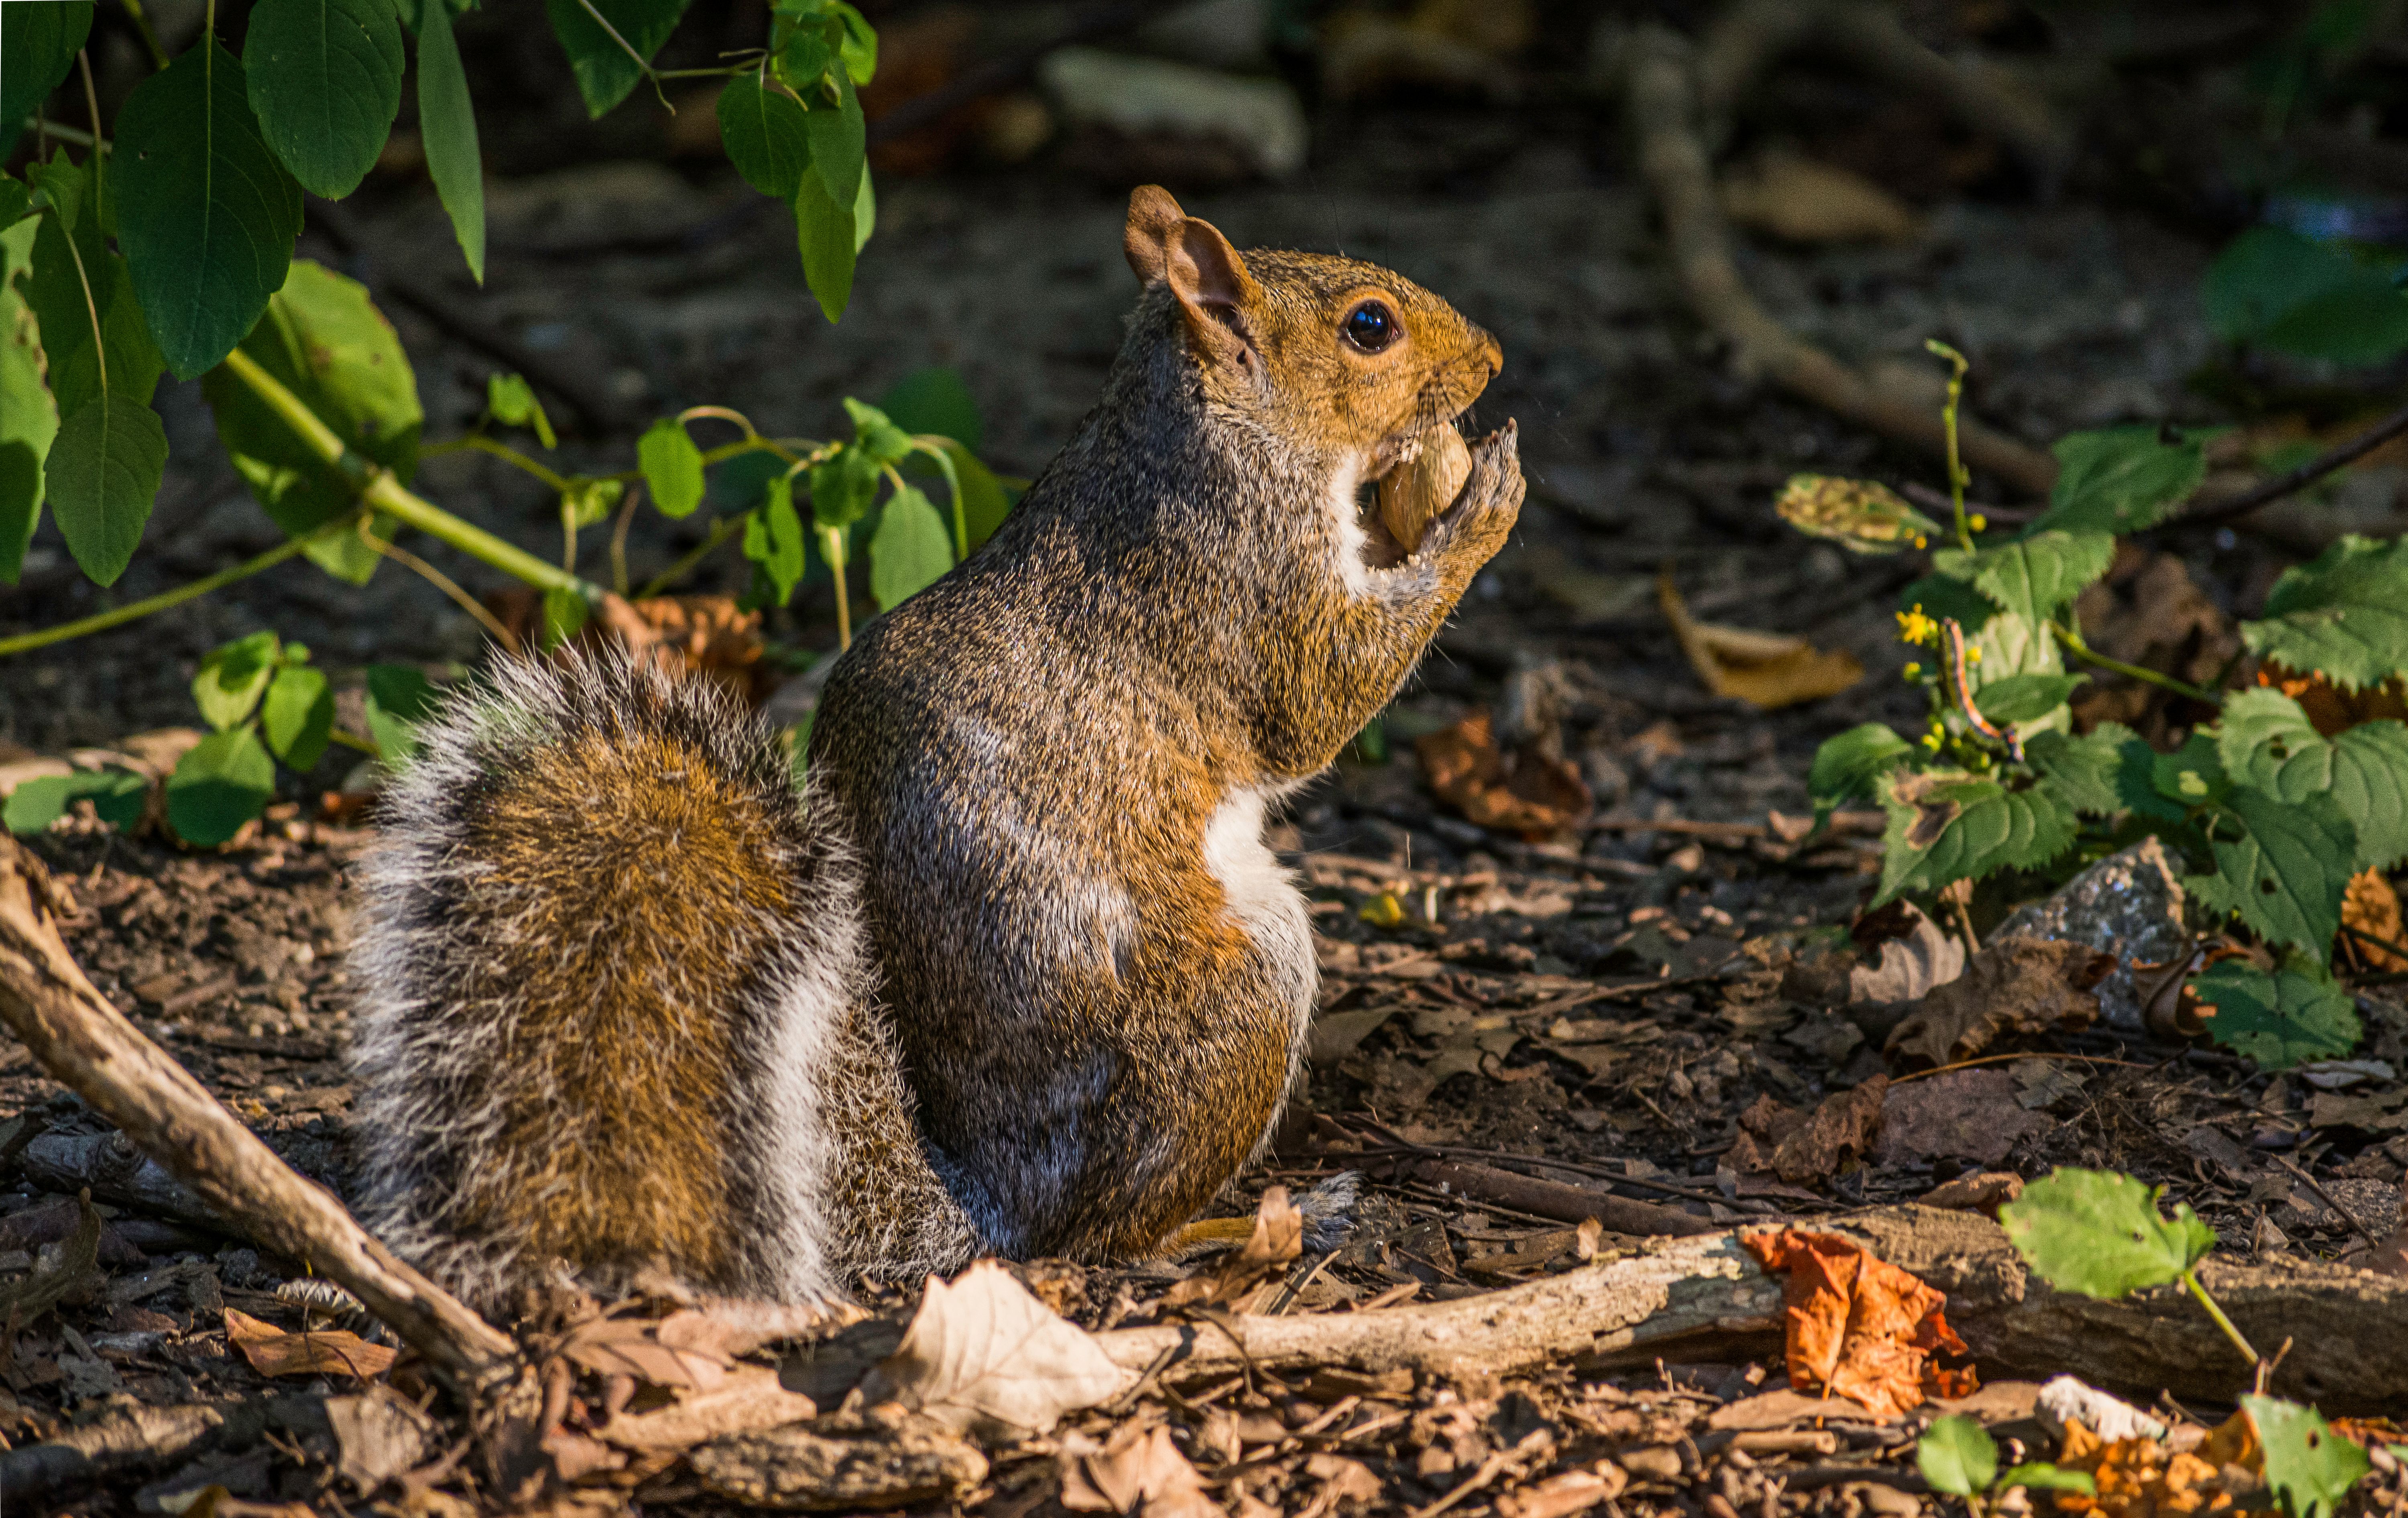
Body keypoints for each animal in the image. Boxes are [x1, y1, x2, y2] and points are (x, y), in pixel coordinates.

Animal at [349, 185, 1524, 1308]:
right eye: (1369, 326)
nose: (1494, 360)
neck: (1204, 427)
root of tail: (993, 1206)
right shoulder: (1234, 571)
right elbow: (1316, 696)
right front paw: (1480, 505)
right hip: (1237, 994)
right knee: (1111, 1237)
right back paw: (1243, 1225)